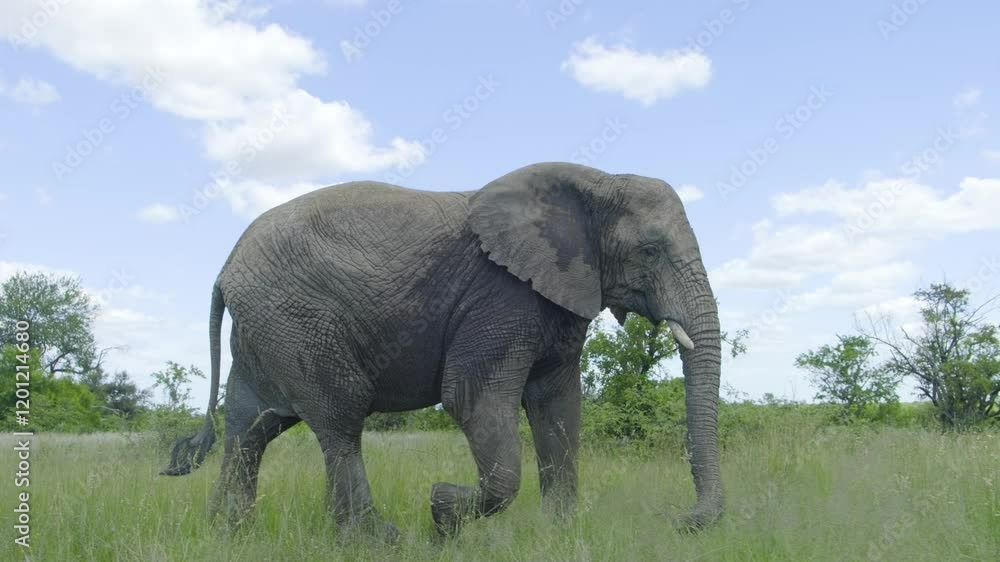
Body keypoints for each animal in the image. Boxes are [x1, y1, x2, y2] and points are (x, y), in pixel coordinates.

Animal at [162, 162, 723, 539]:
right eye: (649, 251)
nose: (681, 520)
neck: (596, 182)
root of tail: (226, 269)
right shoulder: (500, 296)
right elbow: (471, 399)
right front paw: (442, 510)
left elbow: (558, 408)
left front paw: (556, 535)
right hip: (296, 321)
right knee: (339, 420)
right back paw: (377, 540)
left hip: (263, 330)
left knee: (249, 428)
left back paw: (228, 533)